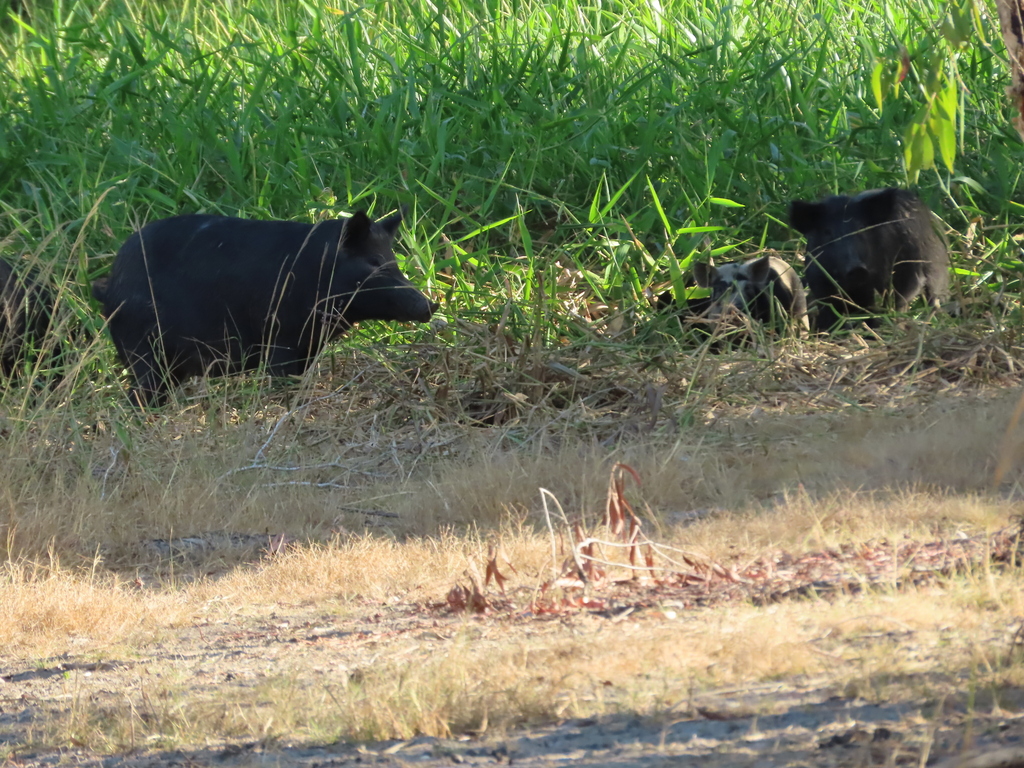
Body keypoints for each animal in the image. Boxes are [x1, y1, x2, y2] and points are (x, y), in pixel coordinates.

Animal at [92, 209, 437, 406]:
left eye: (394, 261)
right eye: (375, 262)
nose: (429, 304)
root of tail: (108, 287)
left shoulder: (308, 345)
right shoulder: (279, 336)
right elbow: (281, 382)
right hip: (145, 352)